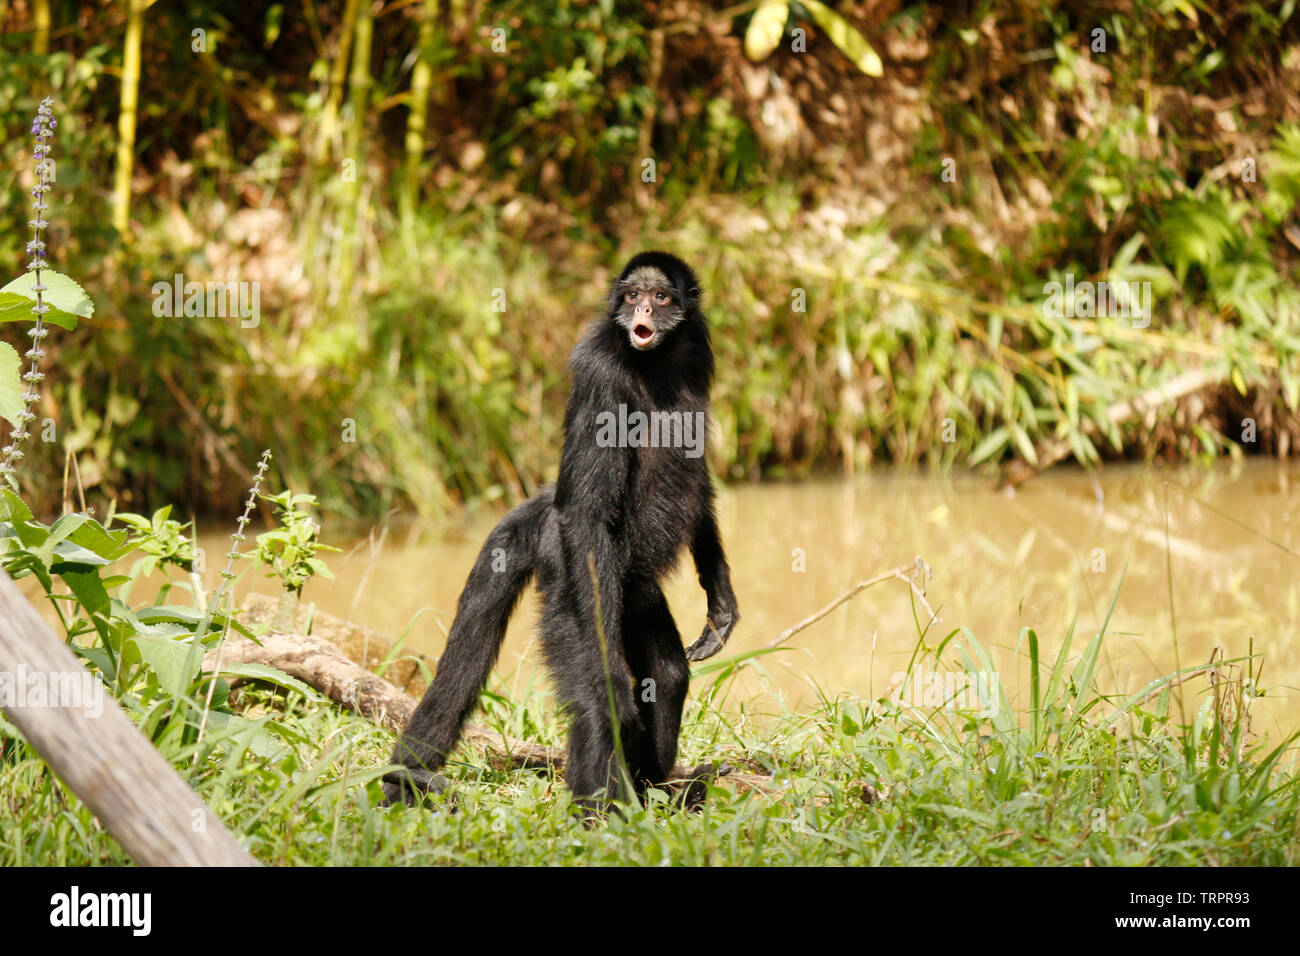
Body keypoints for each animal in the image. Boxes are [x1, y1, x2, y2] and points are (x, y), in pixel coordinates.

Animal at [382, 251, 739, 810]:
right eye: (633, 295)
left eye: (661, 297)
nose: (642, 312)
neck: (653, 361)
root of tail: (545, 516)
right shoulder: (600, 371)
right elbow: (588, 510)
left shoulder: (698, 349)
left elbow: (700, 482)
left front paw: (721, 601)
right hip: (576, 578)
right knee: (600, 699)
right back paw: (602, 816)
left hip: (631, 591)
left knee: (668, 675)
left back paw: (654, 788)